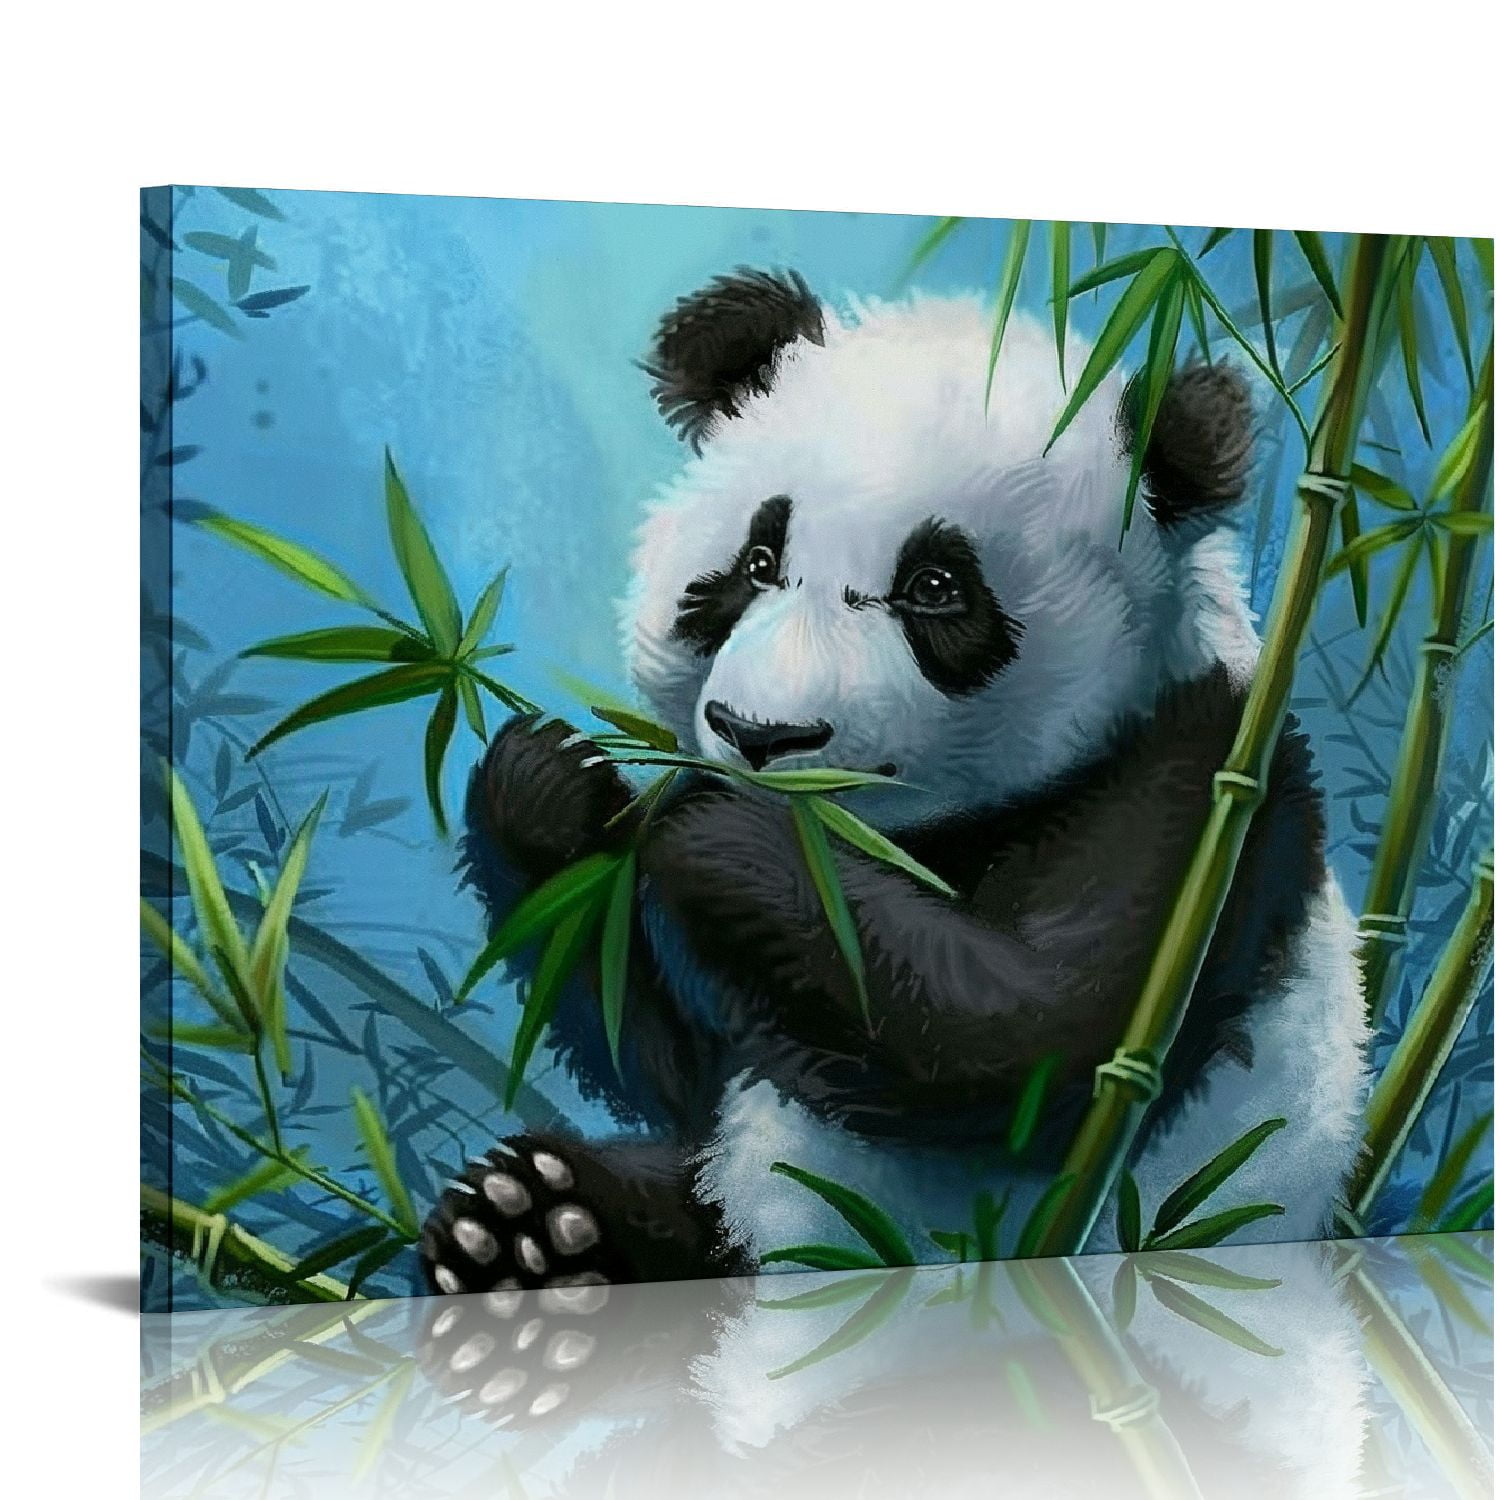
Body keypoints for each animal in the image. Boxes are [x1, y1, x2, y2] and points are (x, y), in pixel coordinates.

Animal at [420, 266, 1370, 1300]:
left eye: (937, 589)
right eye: (757, 562)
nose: (759, 737)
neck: (891, 842)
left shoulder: (1199, 794)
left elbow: (1031, 1041)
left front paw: (711, 831)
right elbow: (674, 1045)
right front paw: (549, 788)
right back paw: (530, 1230)